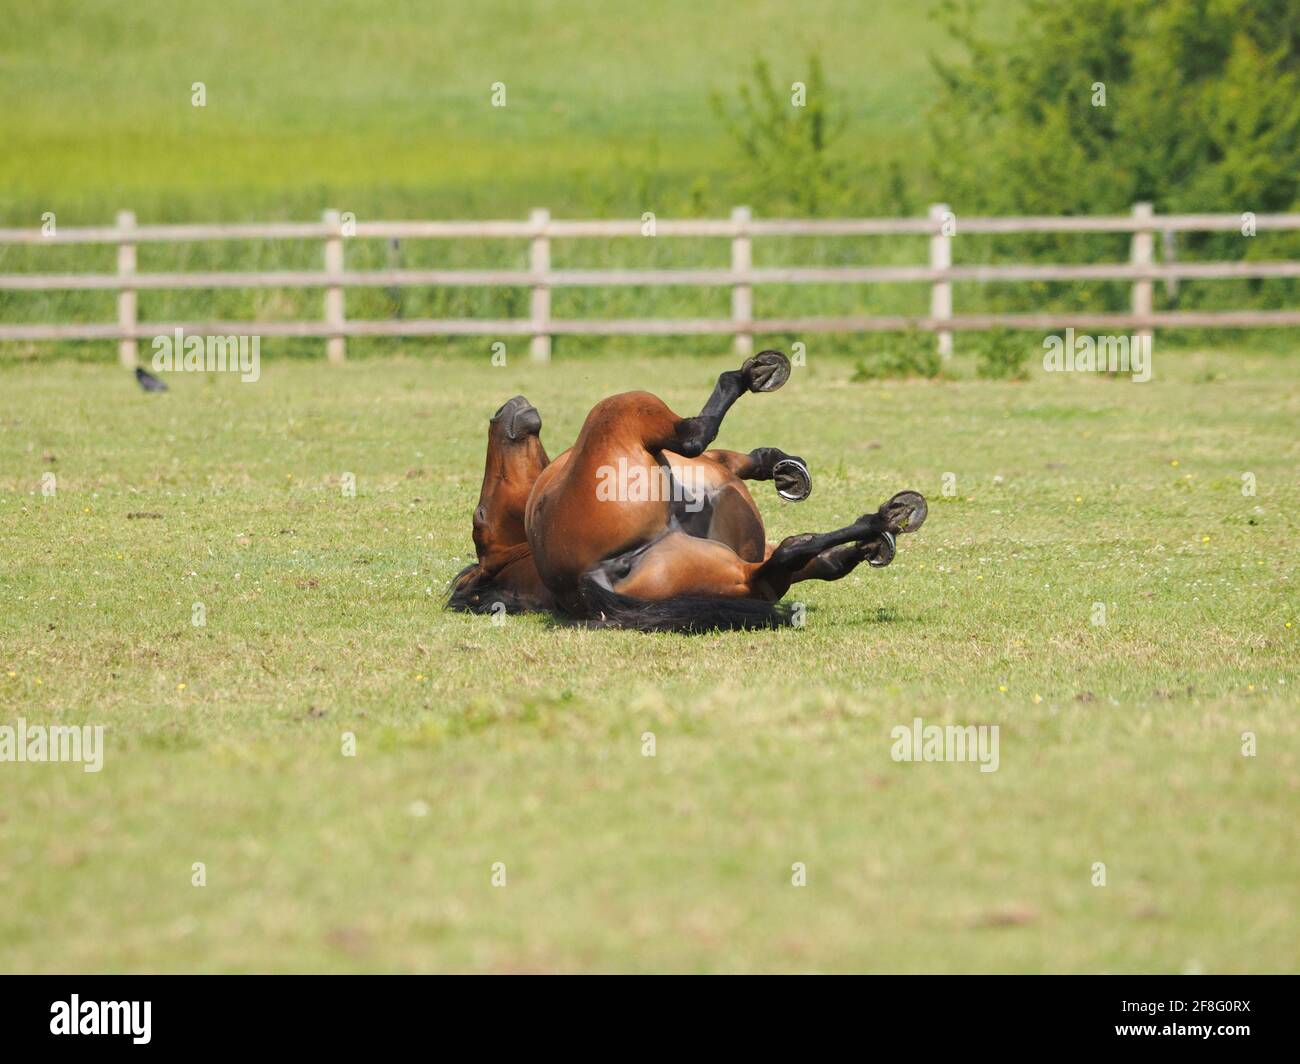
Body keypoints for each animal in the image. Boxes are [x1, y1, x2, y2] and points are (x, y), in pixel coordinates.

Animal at [448, 349, 927, 632]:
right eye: (480, 518)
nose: (503, 411)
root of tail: (588, 574)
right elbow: (707, 444)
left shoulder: (723, 471)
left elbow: (755, 461)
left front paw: (788, 472)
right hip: (620, 409)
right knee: (700, 440)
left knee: (789, 560)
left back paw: (878, 534)